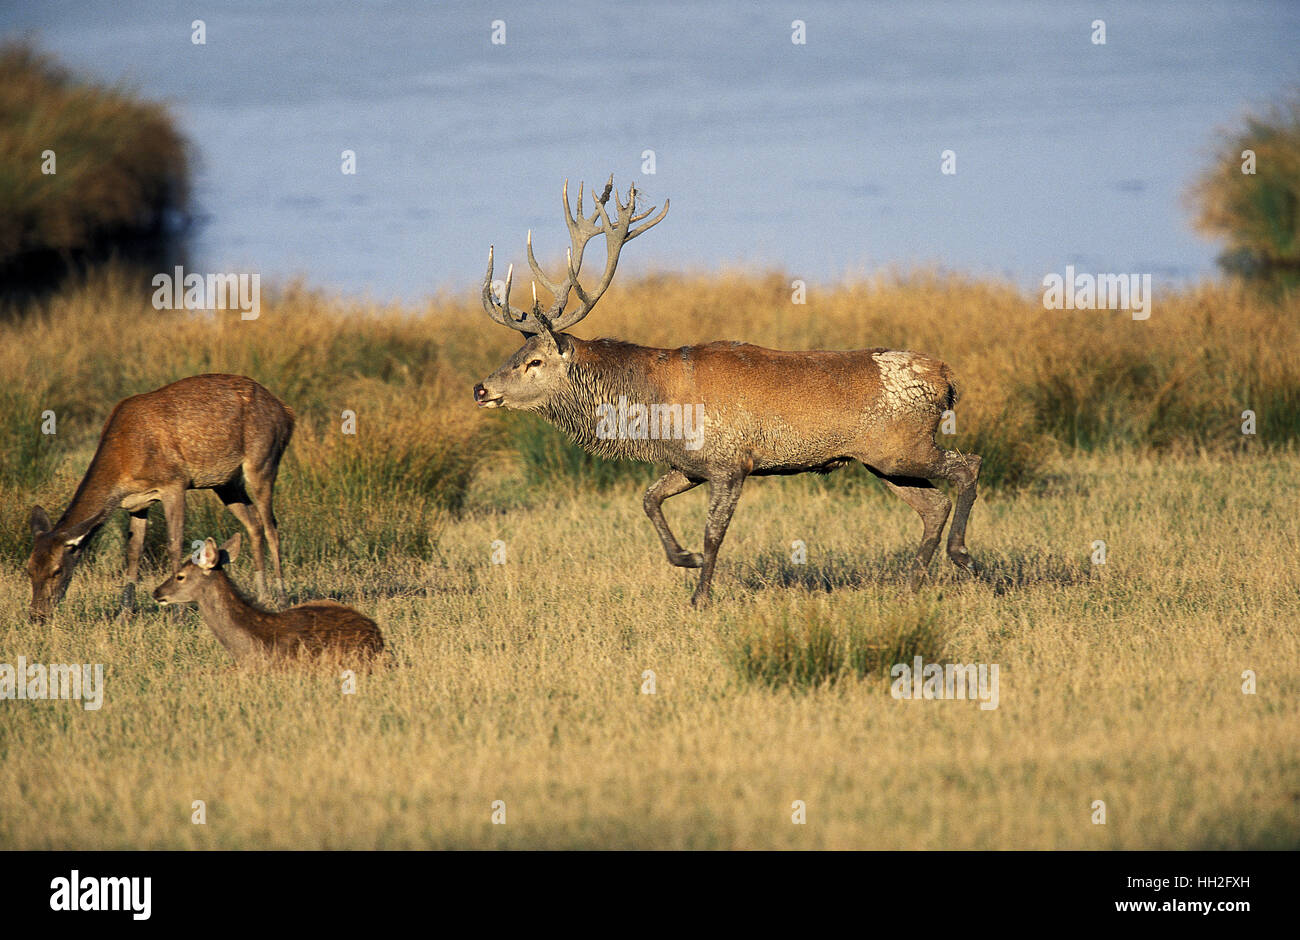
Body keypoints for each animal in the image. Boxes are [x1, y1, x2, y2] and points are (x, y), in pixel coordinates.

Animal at [26, 373, 293, 621]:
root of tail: (287, 412)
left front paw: (178, 614)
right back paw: (262, 595)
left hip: (263, 461)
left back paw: (281, 598)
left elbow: (174, 544)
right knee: (254, 524)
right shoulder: (136, 503)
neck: (124, 462)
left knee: (272, 527)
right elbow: (133, 552)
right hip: (225, 482)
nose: (37, 615)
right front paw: (124, 614)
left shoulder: (174, 483)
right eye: (29, 569)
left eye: (57, 570)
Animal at [471, 176, 983, 607]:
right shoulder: (688, 464)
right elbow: (649, 499)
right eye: (516, 353)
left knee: (968, 465)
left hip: (902, 446)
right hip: (881, 460)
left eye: (535, 362)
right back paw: (911, 587)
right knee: (934, 504)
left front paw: (700, 596)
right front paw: (684, 560)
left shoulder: (730, 462)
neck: (657, 411)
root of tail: (947, 380)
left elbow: (713, 534)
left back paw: (963, 555)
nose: (481, 388)